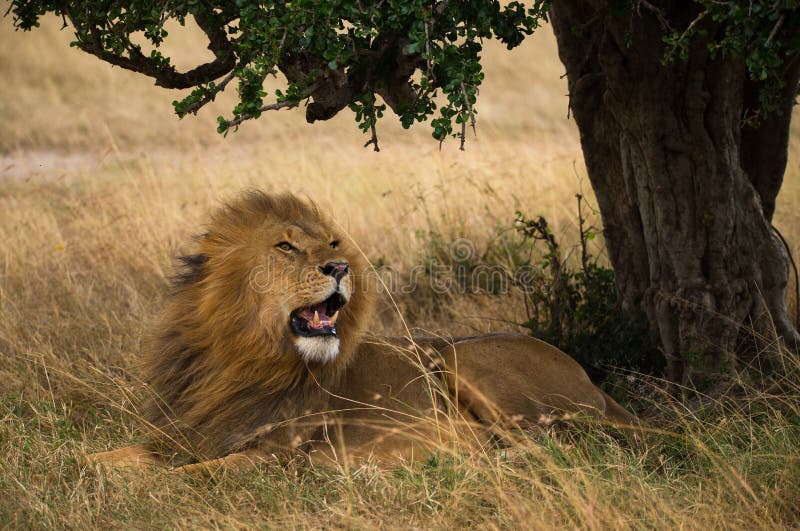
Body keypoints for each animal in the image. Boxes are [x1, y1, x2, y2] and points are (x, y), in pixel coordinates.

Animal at [87, 191, 636, 474]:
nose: (341, 267)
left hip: (465, 361)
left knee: (552, 448)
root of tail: (590, 379)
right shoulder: (180, 435)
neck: (240, 355)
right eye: (286, 246)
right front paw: (88, 466)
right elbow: (107, 459)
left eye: (332, 243)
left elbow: (185, 476)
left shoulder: (277, 455)